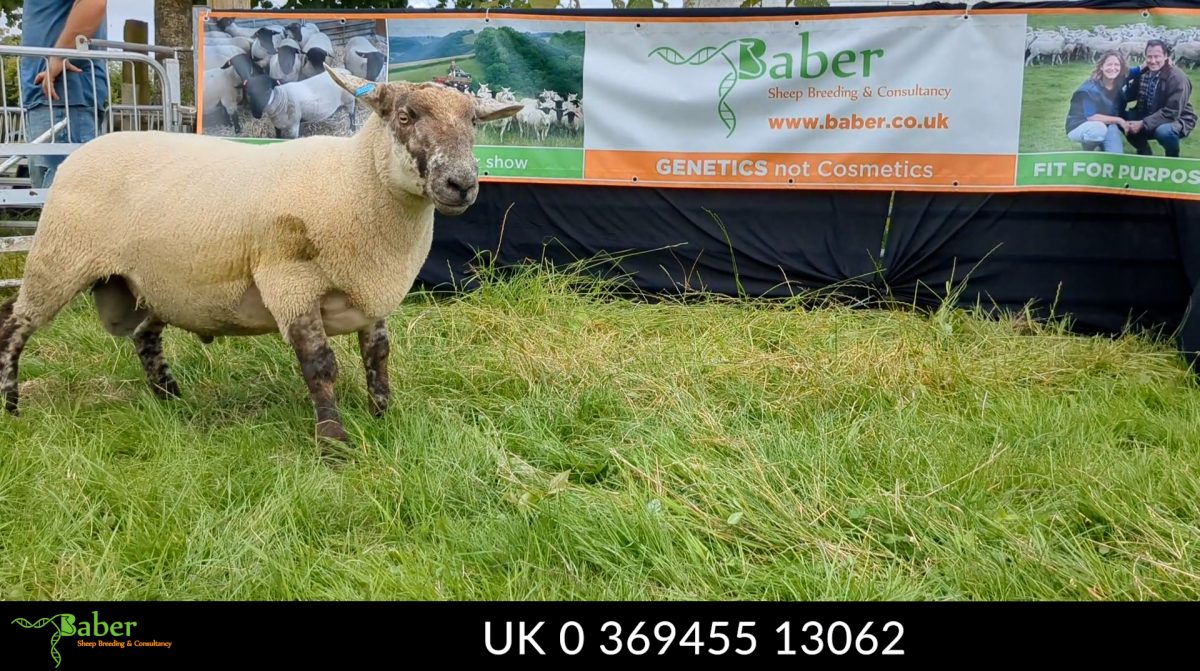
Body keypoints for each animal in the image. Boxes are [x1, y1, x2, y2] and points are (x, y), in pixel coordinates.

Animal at [0, 66, 523, 448]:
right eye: (405, 116)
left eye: (473, 123)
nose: (462, 184)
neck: (354, 180)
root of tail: (89, 147)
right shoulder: (291, 283)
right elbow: (321, 366)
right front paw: (334, 444)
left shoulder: (368, 287)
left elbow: (378, 357)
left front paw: (384, 418)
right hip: (58, 259)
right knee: (14, 327)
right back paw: (11, 406)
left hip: (158, 283)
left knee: (146, 338)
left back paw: (172, 400)